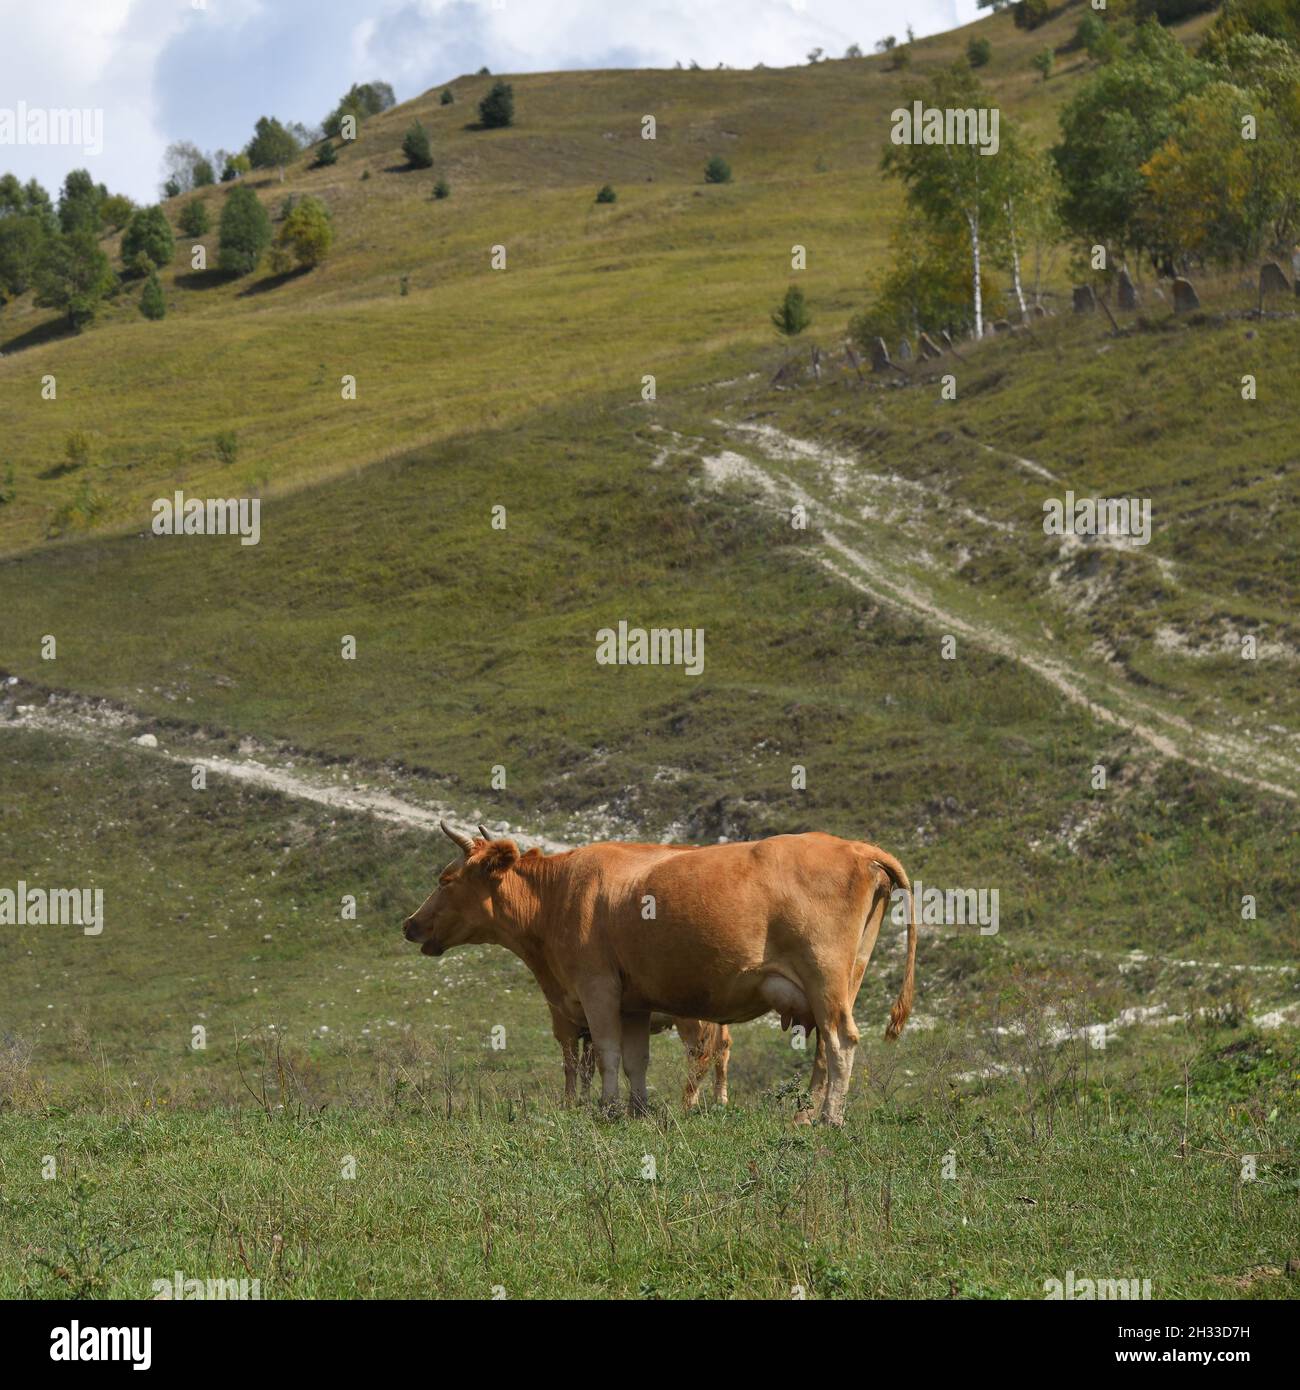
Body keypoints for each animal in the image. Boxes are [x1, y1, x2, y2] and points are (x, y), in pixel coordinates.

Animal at [403, 821, 917, 1126]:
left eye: (445, 880)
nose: (409, 924)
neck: (557, 894)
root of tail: (855, 847)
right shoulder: (634, 1001)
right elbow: (635, 1060)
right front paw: (637, 1109)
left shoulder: (596, 988)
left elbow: (605, 1055)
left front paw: (607, 1109)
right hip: (844, 981)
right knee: (823, 1050)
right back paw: (805, 1115)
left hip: (824, 977)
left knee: (840, 1042)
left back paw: (829, 1118)